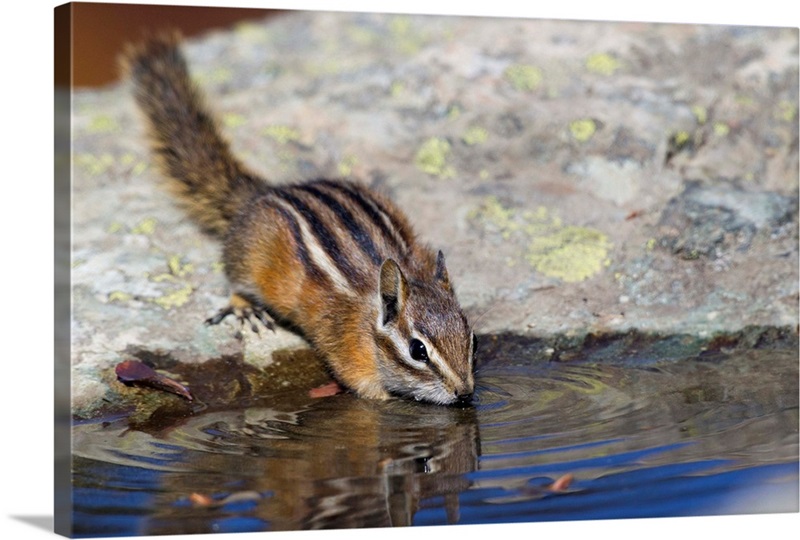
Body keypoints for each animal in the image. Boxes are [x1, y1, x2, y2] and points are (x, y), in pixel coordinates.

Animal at [121, 33, 476, 405]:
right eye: (418, 350)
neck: (370, 320)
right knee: (235, 281)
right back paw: (245, 307)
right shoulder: (349, 351)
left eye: (472, 337)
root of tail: (265, 192)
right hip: (250, 259)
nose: (465, 393)